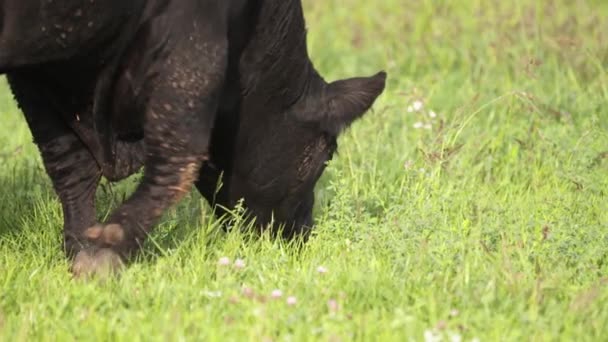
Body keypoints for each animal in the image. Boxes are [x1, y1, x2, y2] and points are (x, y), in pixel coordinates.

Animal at [0, 0, 388, 276]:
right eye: (326, 155)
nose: (302, 237)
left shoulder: (40, 78)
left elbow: (68, 164)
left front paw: (81, 247)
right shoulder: (196, 44)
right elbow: (179, 157)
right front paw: (108, 249)